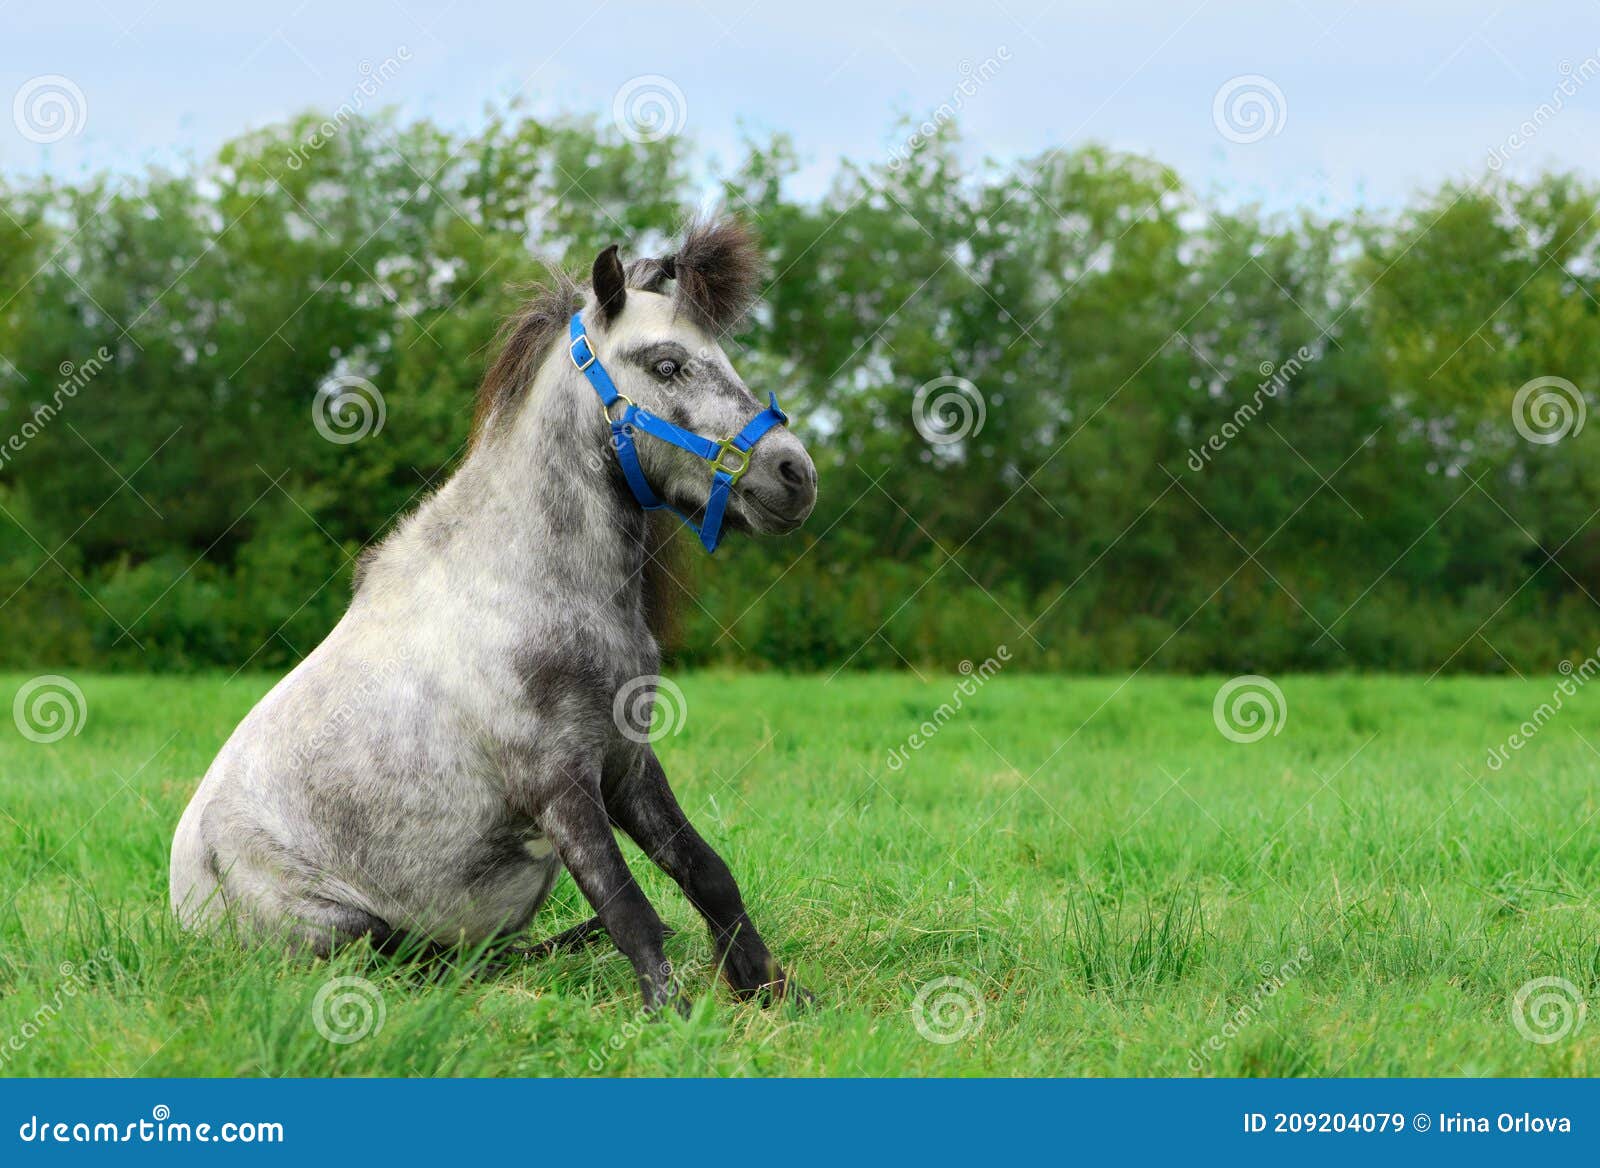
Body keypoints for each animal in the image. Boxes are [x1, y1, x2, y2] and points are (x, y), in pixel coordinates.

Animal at [169, 218, 818, 1012]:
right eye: (666, 365)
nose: (794, 473)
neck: (528, 583)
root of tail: (182, 904)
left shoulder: (627, 764)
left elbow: (708, 875)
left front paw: (772, 991)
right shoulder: (558, 785)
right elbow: (627, 907)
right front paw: (670, 1015)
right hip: (342, 928)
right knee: (411, 960)